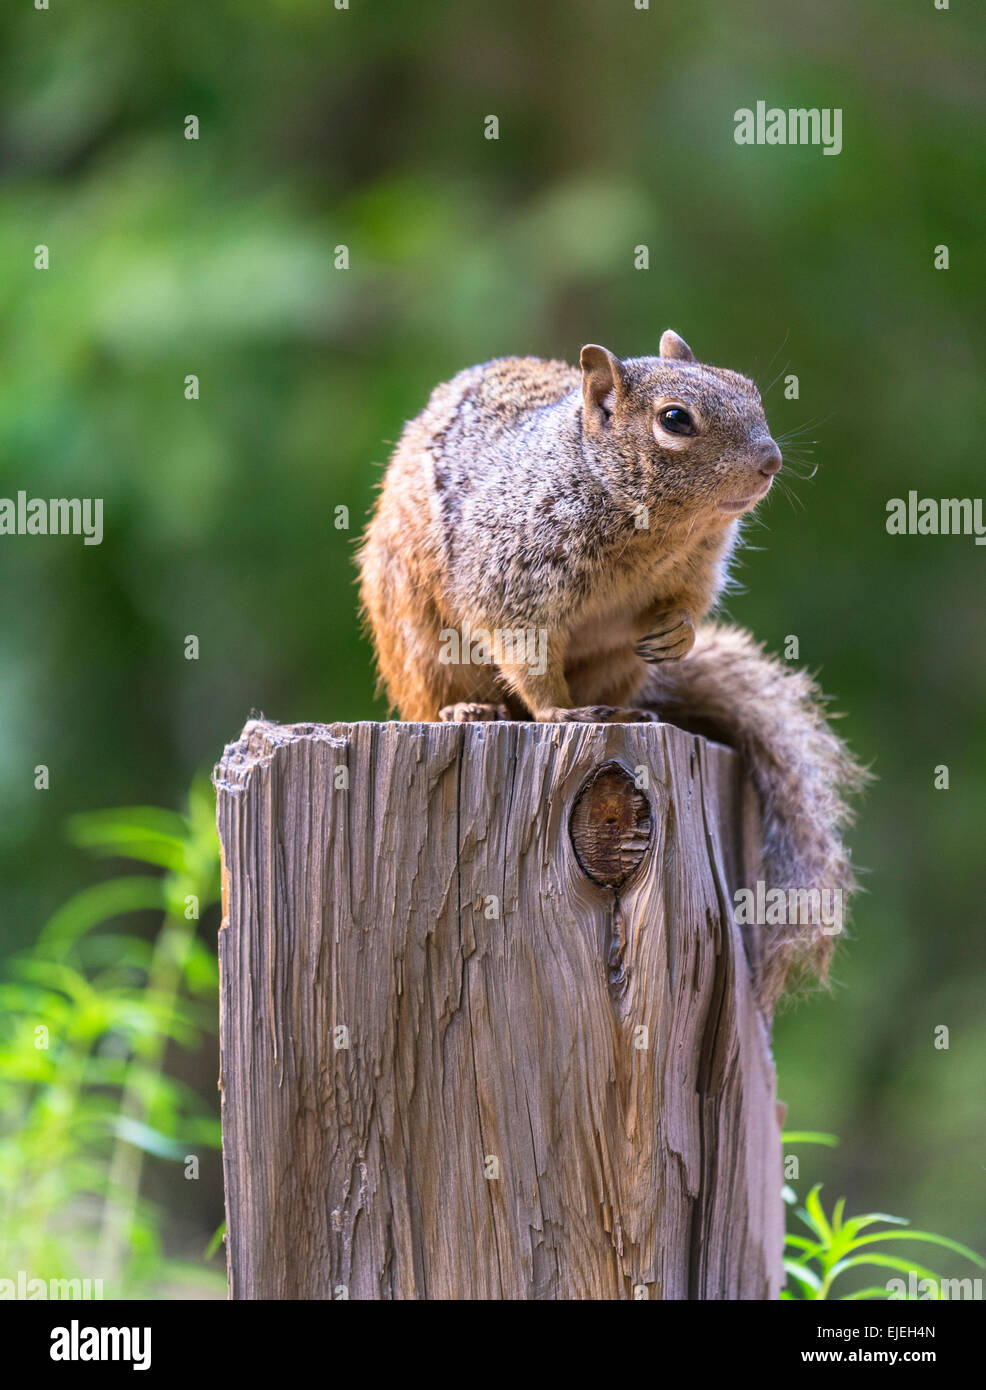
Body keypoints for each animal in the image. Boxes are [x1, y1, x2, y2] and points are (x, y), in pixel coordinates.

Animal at [357, 330, 867, 1005]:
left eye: (748, 387)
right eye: (674, 419)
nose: (771, 461)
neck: (654, 535)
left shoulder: (690, 574)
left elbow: (684, 607)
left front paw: (676, 632)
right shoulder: (511, 573)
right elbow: (524, 649)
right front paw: (557, 710)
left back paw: (629, 710)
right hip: (416, 637)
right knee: (439, 695)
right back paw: (471, 708)